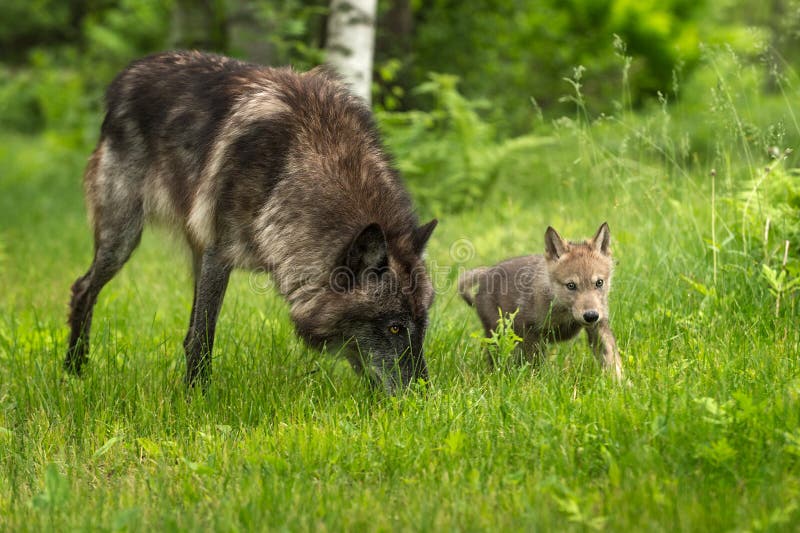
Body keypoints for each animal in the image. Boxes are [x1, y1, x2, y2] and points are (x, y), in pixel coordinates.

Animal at [65, 51, 438, 393]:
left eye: (423, 324)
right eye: (394, 327)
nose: (423, 396)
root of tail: (131, 71)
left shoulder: (217, 257)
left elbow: (196, 332)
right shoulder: (219, 254)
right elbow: (202, 337)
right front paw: (196, 399)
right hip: (123, 238)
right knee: (83, 288)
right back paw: (73, 370)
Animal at [458, 223, 622, 379]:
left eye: (599, 283)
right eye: (571, 285)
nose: (591, 315)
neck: (563, 310)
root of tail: (486, 272)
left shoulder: (599, 325)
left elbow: (612, 359)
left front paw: (620, 383)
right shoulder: (530, 331)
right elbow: (535, 366)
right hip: (498, 333)